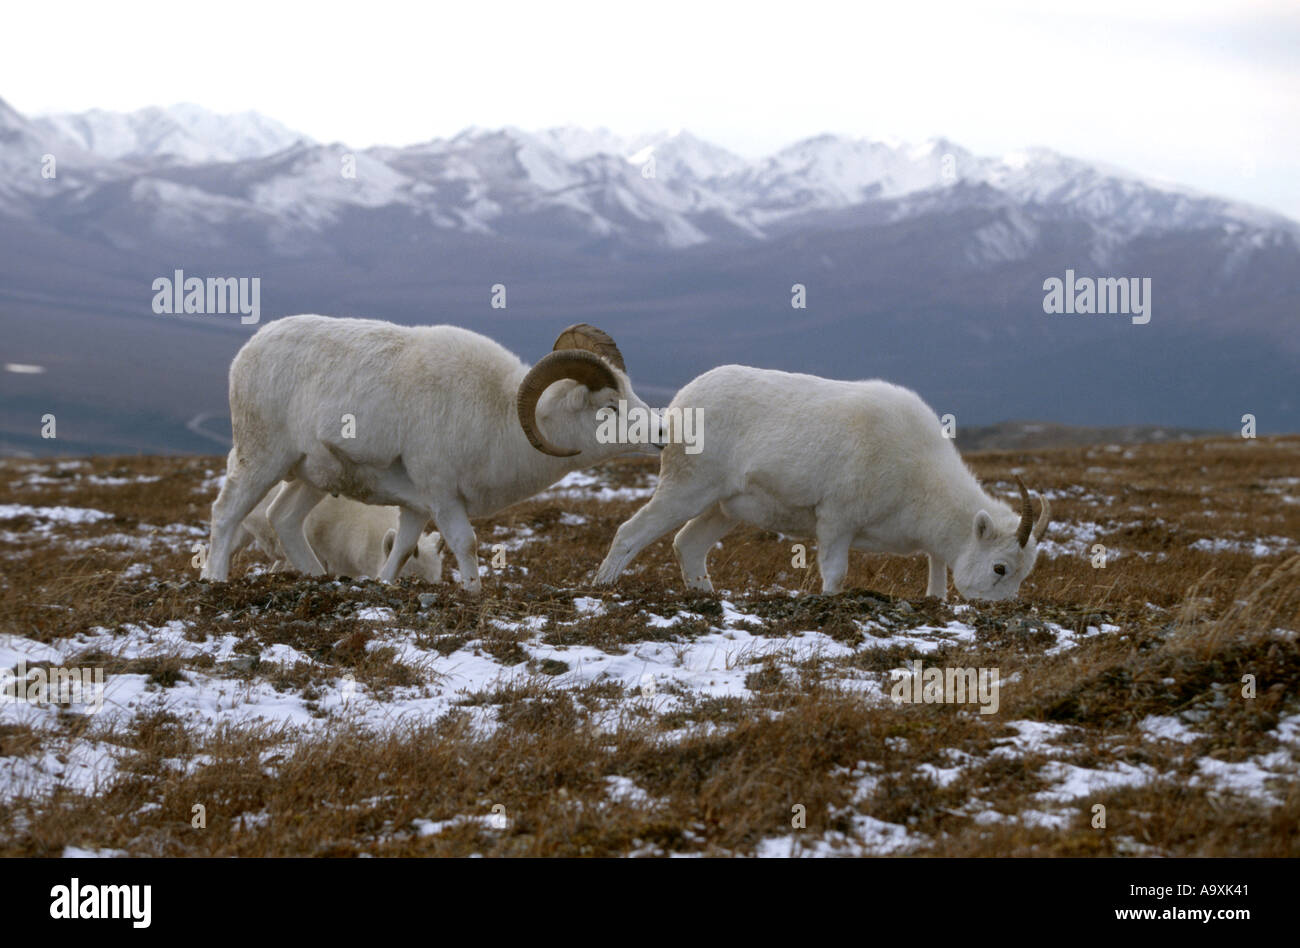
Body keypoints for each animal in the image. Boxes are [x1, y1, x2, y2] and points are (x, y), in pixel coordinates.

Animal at [593, 365, 1051, 600]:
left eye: (1025, 574)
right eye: (1000, 567)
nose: (999, 611)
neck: (918, 471)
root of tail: (679, 404)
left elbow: (936, 574)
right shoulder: (836, 523)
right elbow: (835, 574)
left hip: (723, 509)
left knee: (687, 545)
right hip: (686, 491)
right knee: (631, 532)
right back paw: (603, 586)